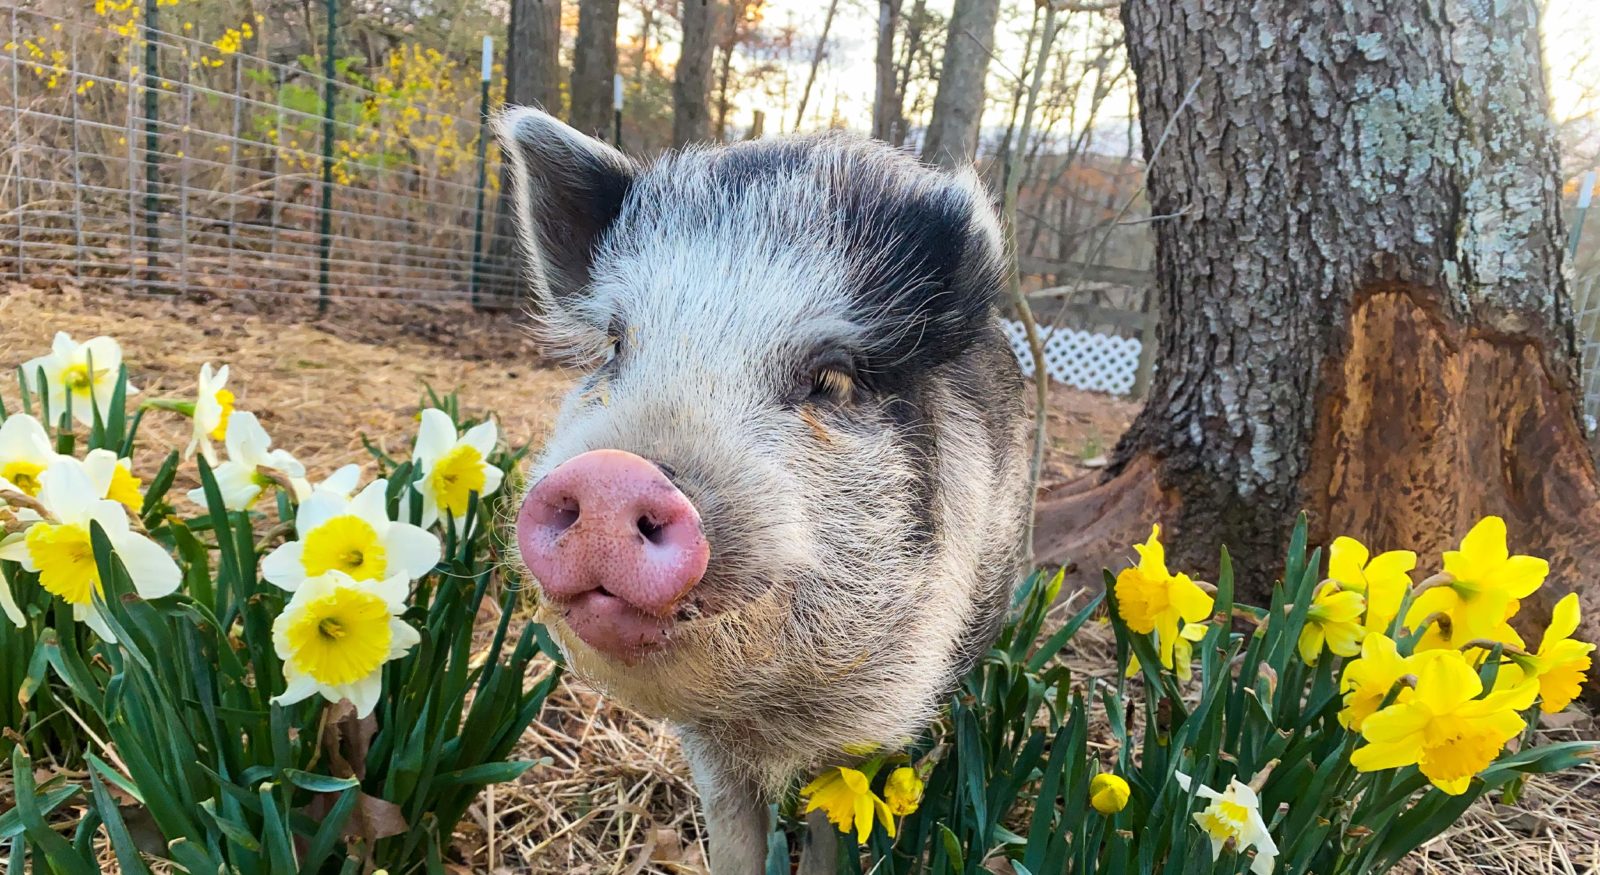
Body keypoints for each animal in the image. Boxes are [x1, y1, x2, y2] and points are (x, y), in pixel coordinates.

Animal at [498, 107, 1030, 873]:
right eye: (616, 345)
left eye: (832, 377)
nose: (611, 475)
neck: (768, 715)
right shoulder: (708, 749)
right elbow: (733, 835)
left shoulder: (866, 734)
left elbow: (838, 828)